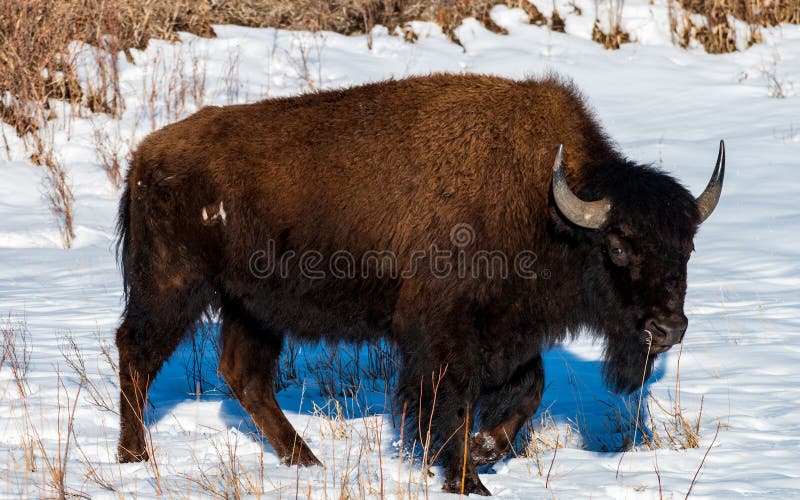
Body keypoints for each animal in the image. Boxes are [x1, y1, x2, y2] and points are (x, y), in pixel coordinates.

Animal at [114, 73, 724, 495]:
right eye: (618, 246)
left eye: (688, 247)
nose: (667, 329)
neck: (547, 208)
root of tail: (144, 156)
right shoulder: (442, 335)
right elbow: (449, 402)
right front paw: (467, 478)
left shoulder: (512, 333)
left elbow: (529, 390)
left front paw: (484, 451)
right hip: (172, 287)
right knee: (137, 354)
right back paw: (133, 457)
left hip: (253, 308)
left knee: (245, 377)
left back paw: (305, 461)